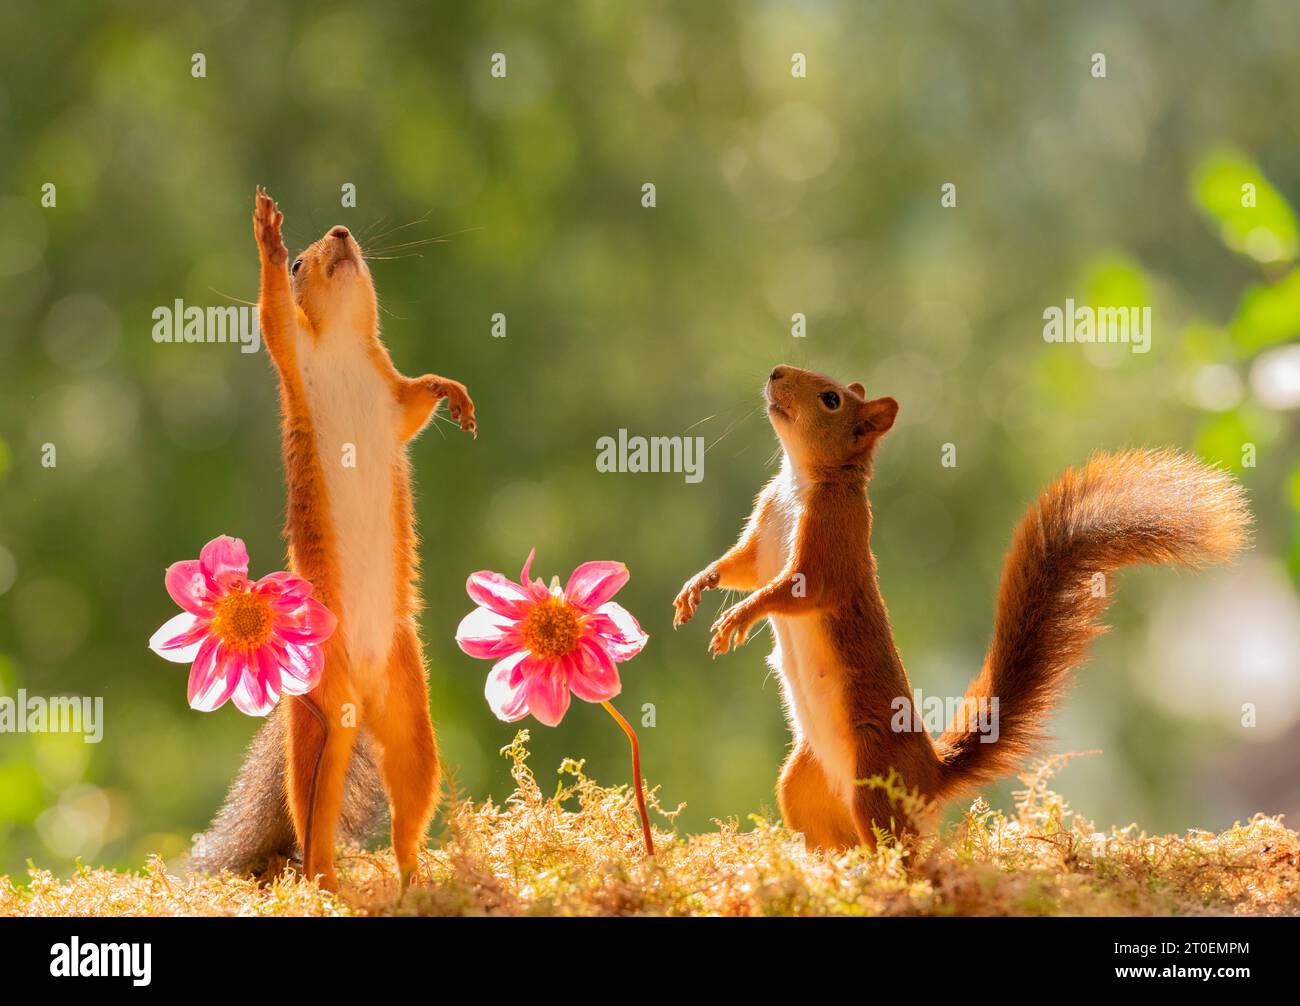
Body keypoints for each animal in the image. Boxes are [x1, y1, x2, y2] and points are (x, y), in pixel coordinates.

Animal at [190, 189, 476, 891]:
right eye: (299, 261)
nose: (342, 232)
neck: (346, 345)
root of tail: (367, 688)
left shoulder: (392, 397)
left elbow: (418, 401)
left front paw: (452, 391)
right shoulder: (291, 351)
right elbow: (272, 311)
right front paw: (266, 236)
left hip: (411, 717)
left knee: (409, 805)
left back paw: (416, 878)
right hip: (322, 714)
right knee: (312, 811)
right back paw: (324, 879)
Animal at [673, 364, 1250, 851]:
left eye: (831, 399)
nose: (775, 372)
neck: (798, 482)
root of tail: (929, 776)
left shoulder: (833, 542)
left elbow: (799, 590)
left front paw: (740, 617)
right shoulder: (762, 527)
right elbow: (741, 565)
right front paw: (697, 587)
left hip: (874, 785)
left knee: (900, 852)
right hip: (801, 783)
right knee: (833, 838)